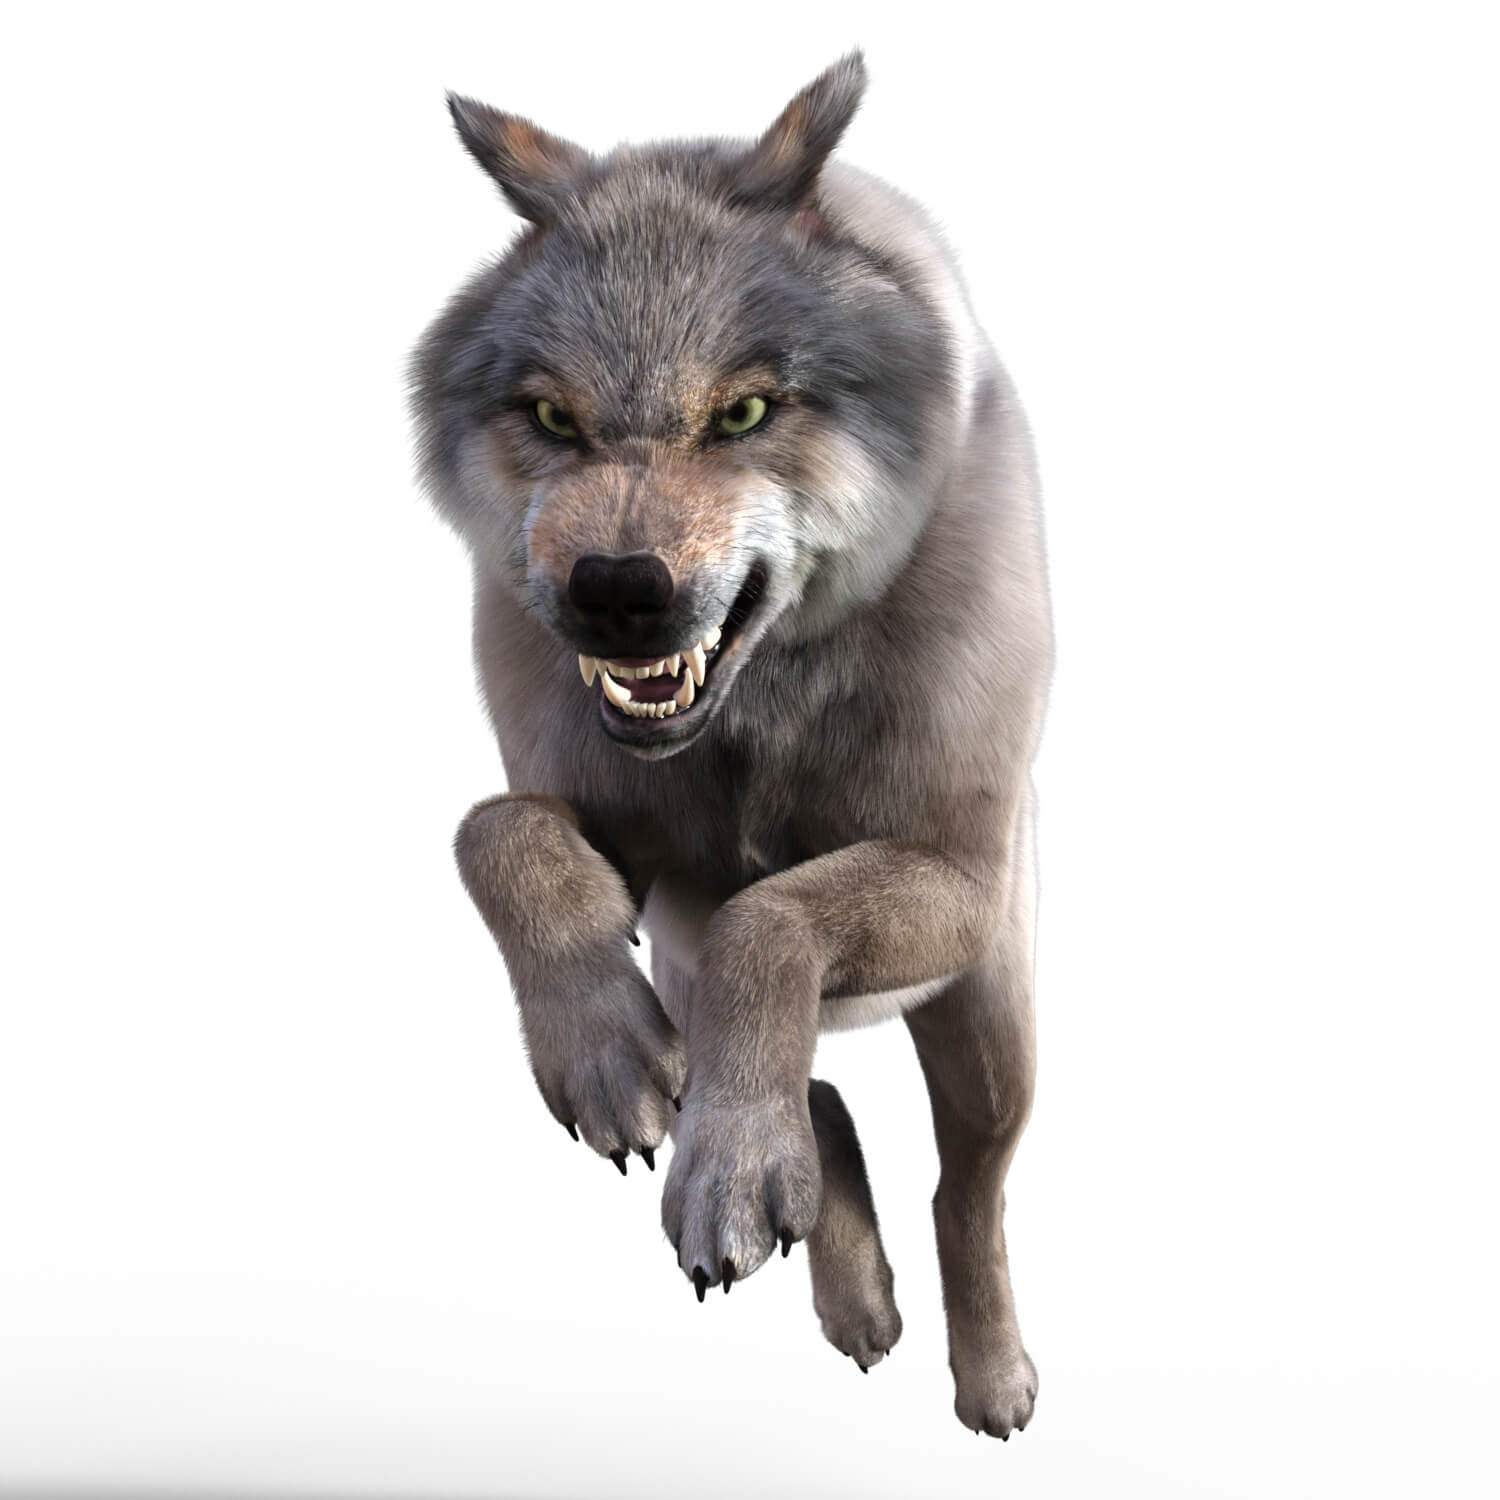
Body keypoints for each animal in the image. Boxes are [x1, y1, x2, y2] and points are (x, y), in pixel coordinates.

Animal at [408, 50, 1053, 1439]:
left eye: (747, 409)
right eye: (553, 418)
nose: (615, 592)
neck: (758, 714)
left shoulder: (951, 875)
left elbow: (779, 914)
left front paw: (728, 1170)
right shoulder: (611, 839)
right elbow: (496, 829)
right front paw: (603, 1059)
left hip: (992, 1024)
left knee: (967, 1187)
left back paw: (989, 1377)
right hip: (697, 967)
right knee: (818, 1092)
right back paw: (850, 1295)